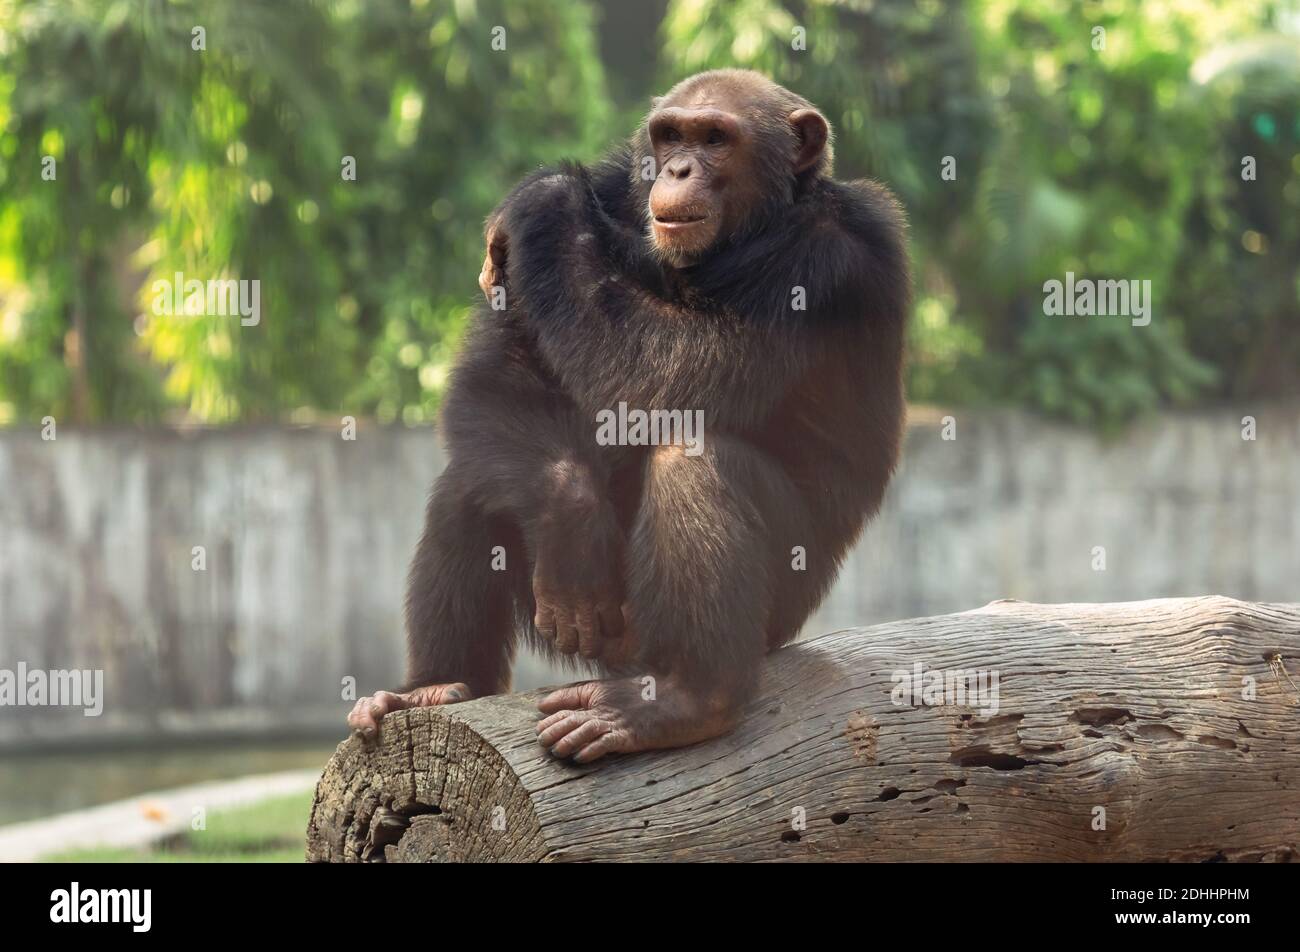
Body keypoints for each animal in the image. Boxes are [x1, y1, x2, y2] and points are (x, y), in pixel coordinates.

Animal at [347, 69, 910, 763]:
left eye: (716, 138)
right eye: (670, 135)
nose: (677, 168)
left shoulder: (826, 261)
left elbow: (673, 371)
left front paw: (546, 199)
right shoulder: (619, 185)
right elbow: (500, 367)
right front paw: (569, 512)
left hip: (768, 611)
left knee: (693, 455)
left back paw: (682, 702)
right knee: (474, 476)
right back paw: (434, 686)